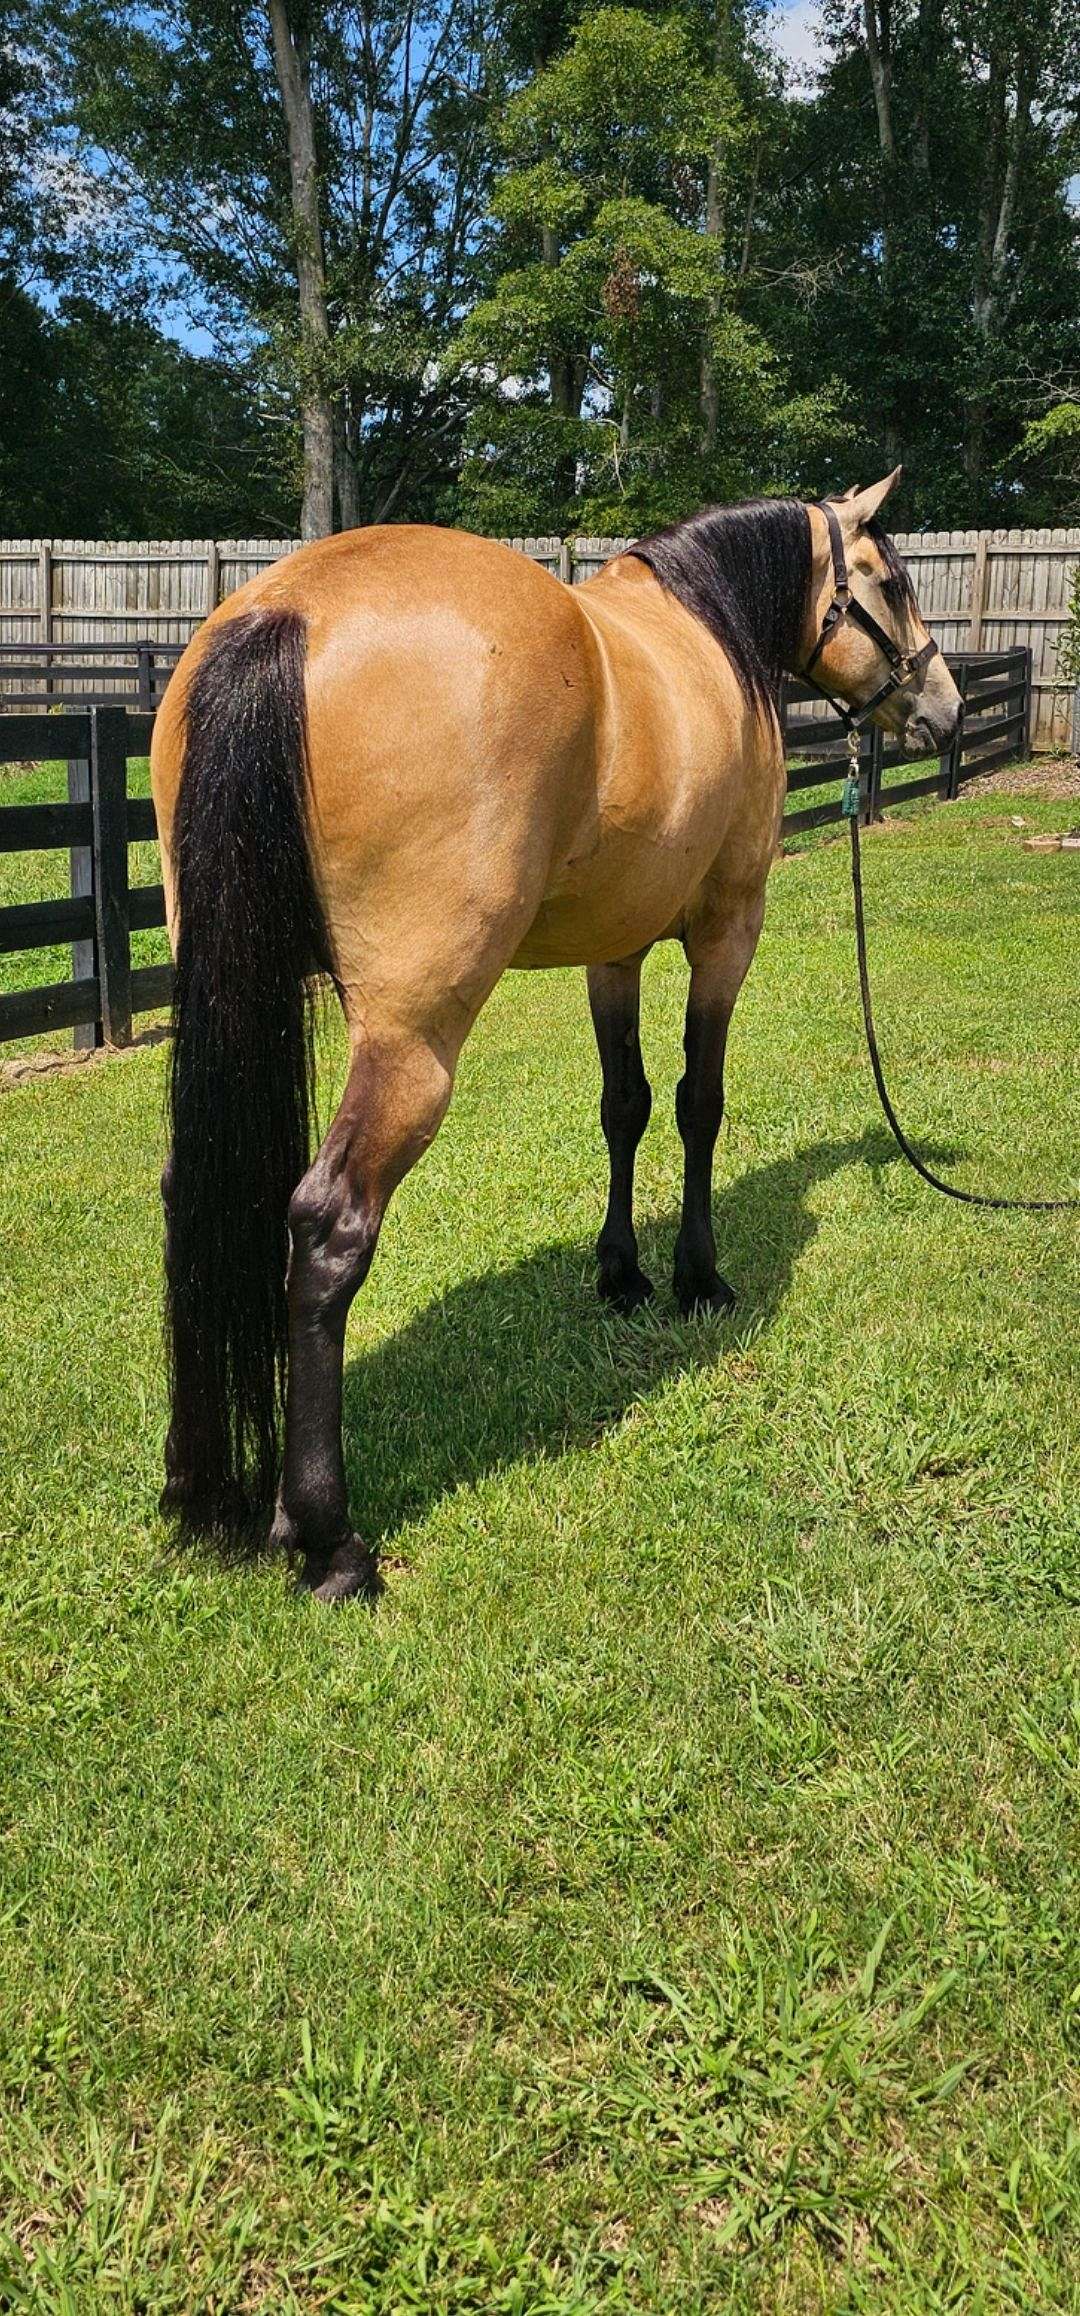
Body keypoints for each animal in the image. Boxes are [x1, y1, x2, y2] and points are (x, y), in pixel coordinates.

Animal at [150, 467, 961, 1601]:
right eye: (888, 580)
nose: (946, 707)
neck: (706, 630)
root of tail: (287, 611)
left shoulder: (611, 952)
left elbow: (625, 1107)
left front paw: (621, 1274)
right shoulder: (728, 931)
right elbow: (699, 1105)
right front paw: (698, 1278)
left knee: (198, 1189)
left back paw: (208, 1492)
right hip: (413, 1037)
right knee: (329, 1222)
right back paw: (327, 1538)